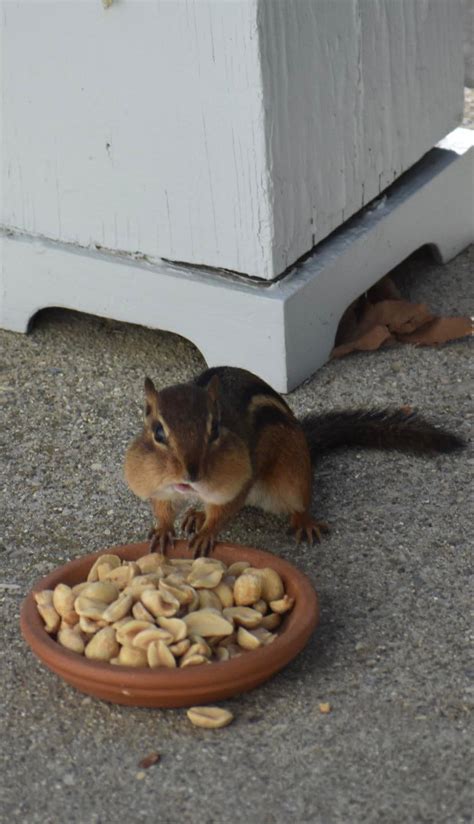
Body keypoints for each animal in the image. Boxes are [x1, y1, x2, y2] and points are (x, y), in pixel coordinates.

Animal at [124, 365, 465, 557]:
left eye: (215, 430)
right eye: (157, 432)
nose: (191, 475)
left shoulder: (237, 482)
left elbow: (224, 511)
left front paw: (207, 533)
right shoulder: (157, 486)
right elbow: (162, 508)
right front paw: (163, 529)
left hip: (292, 474)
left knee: (300, 501)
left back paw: (304, 522)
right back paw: (195, 513)